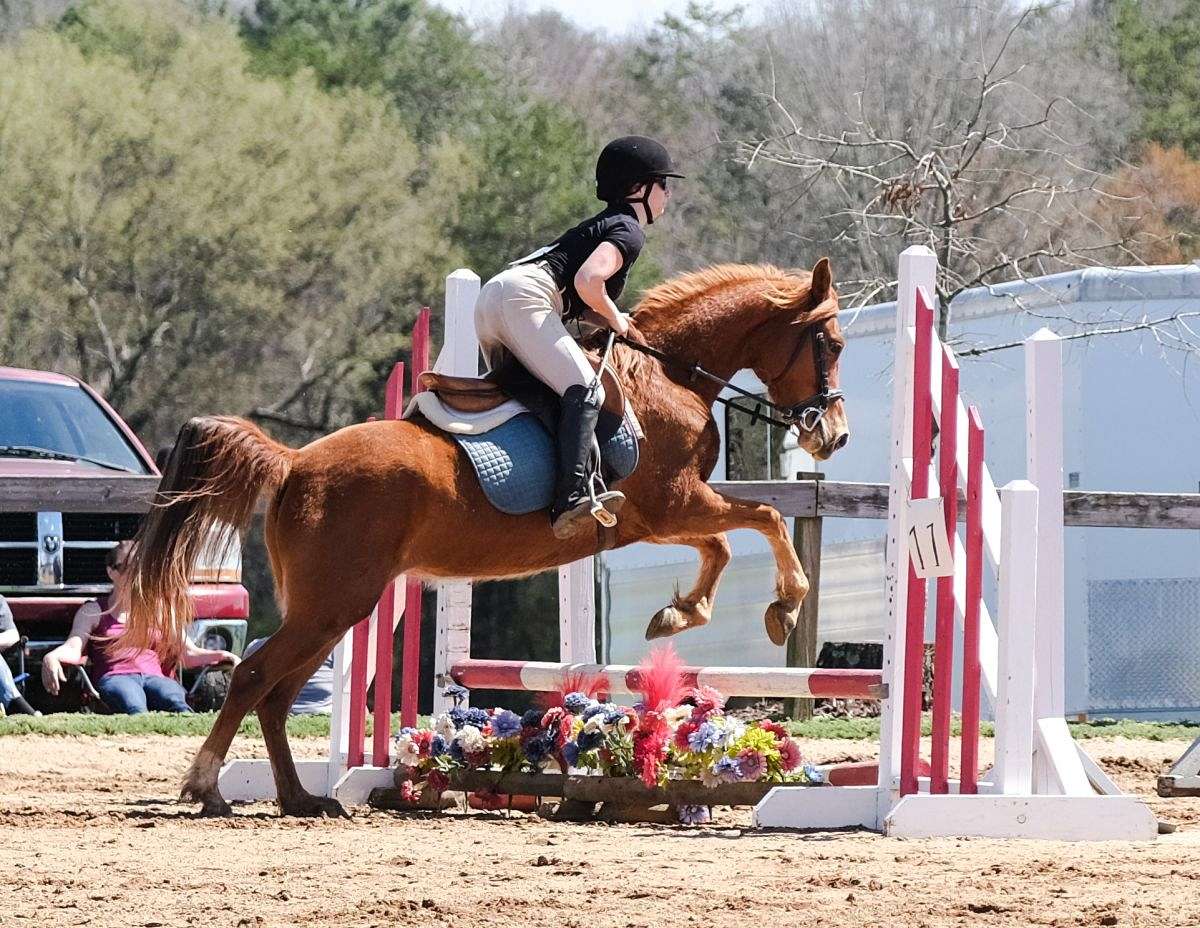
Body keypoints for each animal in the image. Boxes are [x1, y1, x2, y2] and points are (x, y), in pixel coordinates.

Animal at [122, 259, 849, 817]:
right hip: (333, 604)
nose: (833, 436)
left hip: (335, 610)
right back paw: (208, 787)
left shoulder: (670, 514)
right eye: (832, 343)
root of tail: (294, 461)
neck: (670, 377)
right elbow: (764, 518)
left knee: (274, 693)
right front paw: (783, 606)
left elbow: (727, 543)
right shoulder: (674, 506)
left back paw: (303, 797)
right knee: (252, 678)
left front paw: (680, 611)